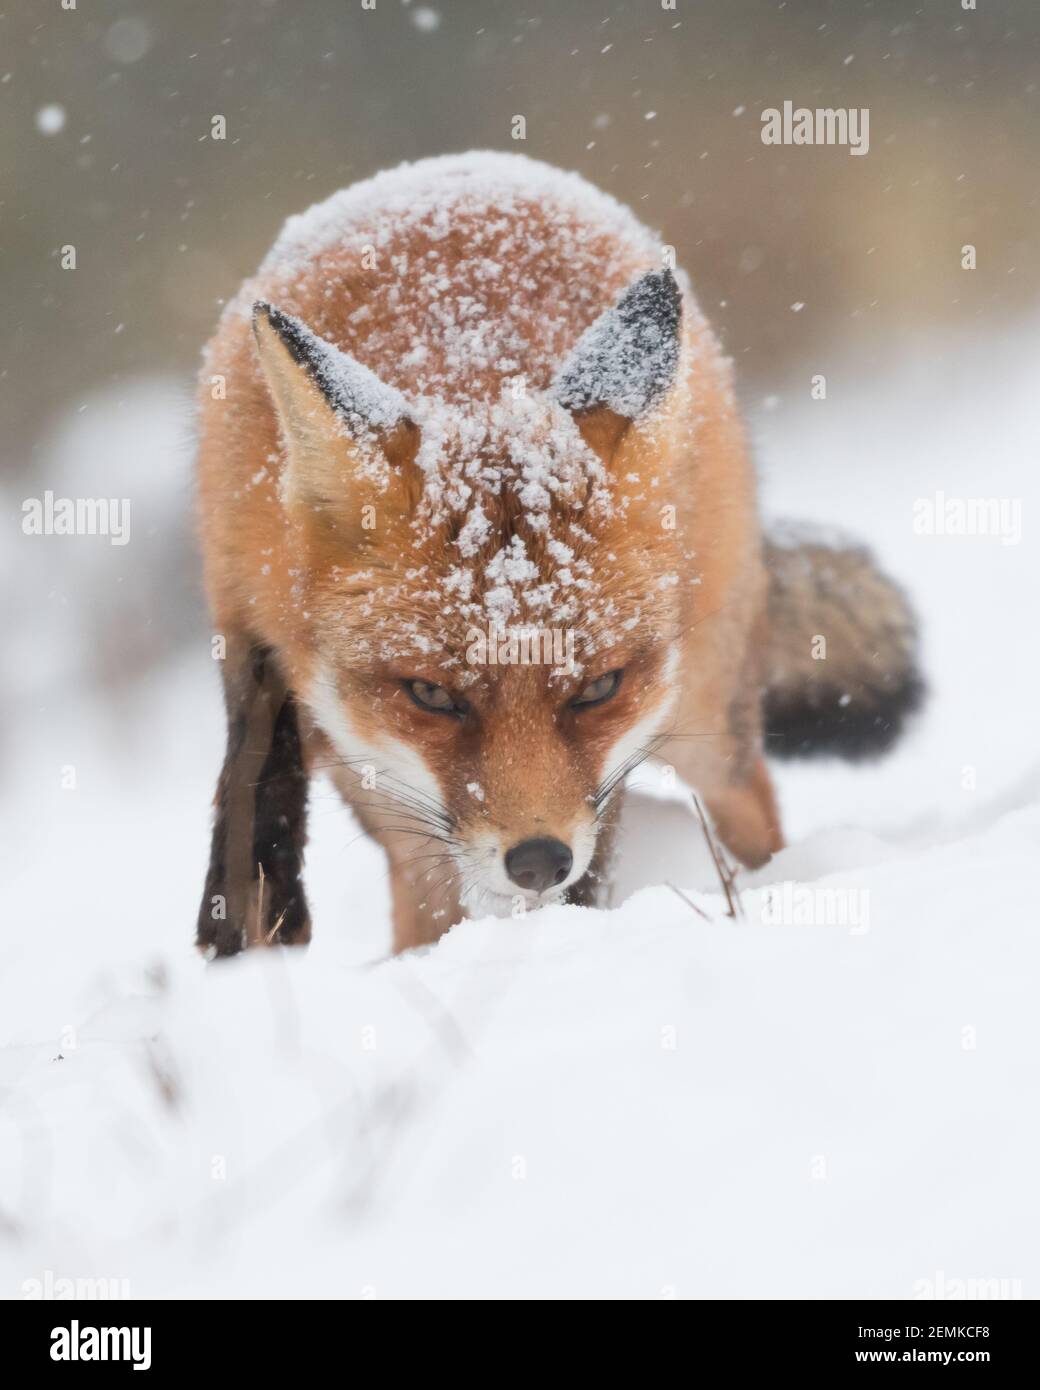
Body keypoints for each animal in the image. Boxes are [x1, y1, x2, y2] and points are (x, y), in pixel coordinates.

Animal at [195, 152, 921, 957]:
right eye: (432, 696)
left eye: (597, 688)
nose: (539, 860)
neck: (467, 357)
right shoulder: (244, 599)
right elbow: (253, 764)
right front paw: (248, 911)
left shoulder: (609, 771)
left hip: (706, 716)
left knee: (751, 798)